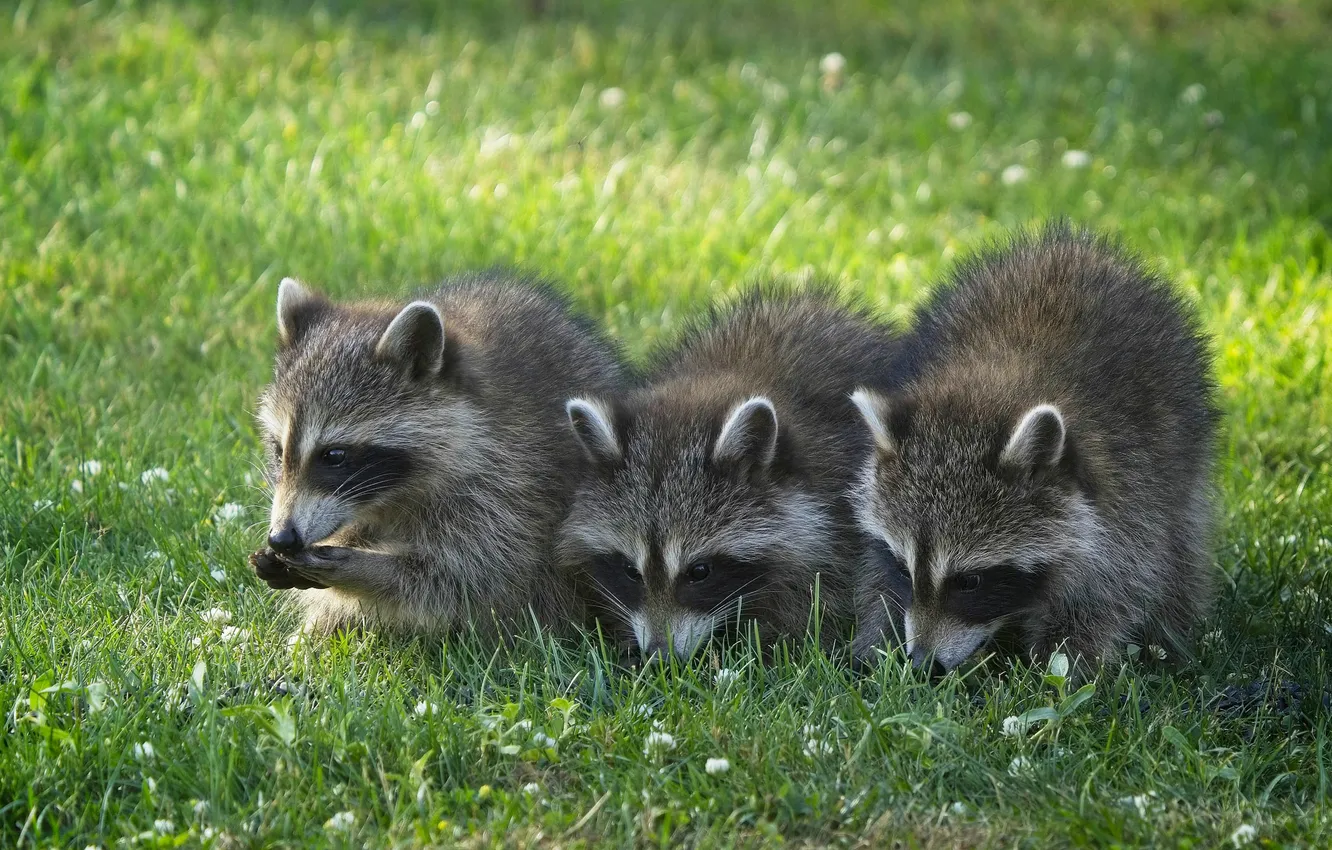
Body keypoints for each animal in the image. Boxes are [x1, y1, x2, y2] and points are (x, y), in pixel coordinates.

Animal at [249, 272, 627, 635]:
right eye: (279, 450)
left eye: (334, 455)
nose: (281, 537)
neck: (387, 499)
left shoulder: (511, 485)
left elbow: (458, 578)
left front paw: (360, 568)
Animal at [850, 224, 1219, 674]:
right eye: (904, 569)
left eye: (969, 581)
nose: (923, 664)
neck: (987, 389)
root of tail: (1071, 246)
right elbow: (876, 576)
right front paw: (878, 639)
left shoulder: (1132, 488)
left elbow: (1112, 586)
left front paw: (1066, 663)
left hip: (1183, 439)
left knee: (1181, 536)